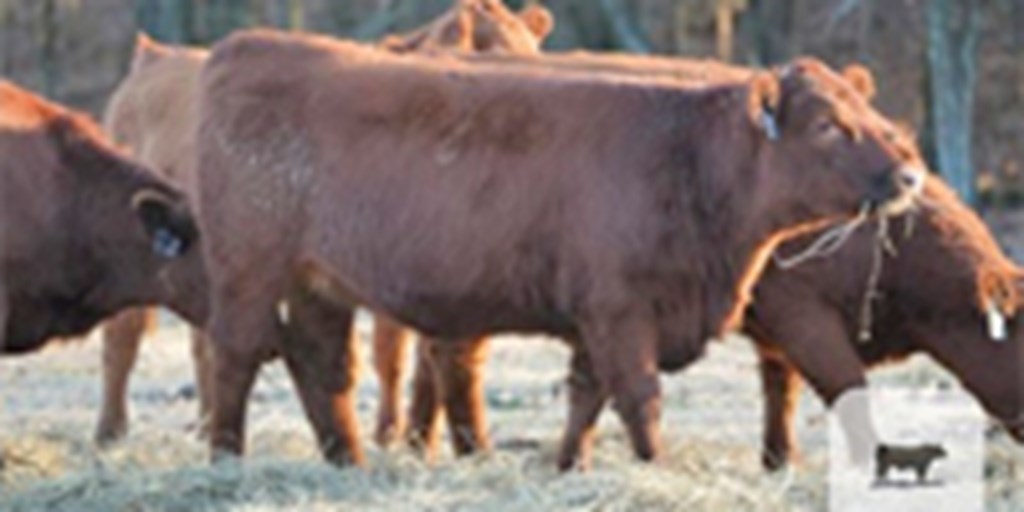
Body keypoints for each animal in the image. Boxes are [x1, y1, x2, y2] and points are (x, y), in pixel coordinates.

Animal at [95, 0, 555, 446]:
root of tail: (155, 55)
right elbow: (393, 355)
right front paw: (394, 435)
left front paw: (418, 439)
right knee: (123, 337)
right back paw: (111, 431)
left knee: (203, 339)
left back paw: (206, 424)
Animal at [195, 28, 923, 467]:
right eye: (827, 124)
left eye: (865, 109)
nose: (910, 175)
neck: (683, 156)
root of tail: (248, 47)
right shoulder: (619, 312)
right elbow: (638, 396)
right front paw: (652, 465)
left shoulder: (594, 322)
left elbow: (587, 397)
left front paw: (570, 464)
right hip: (248, 274)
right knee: (235, 357)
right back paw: (227, 459)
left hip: (317, 285)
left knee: (323, 367)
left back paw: (344, 459)